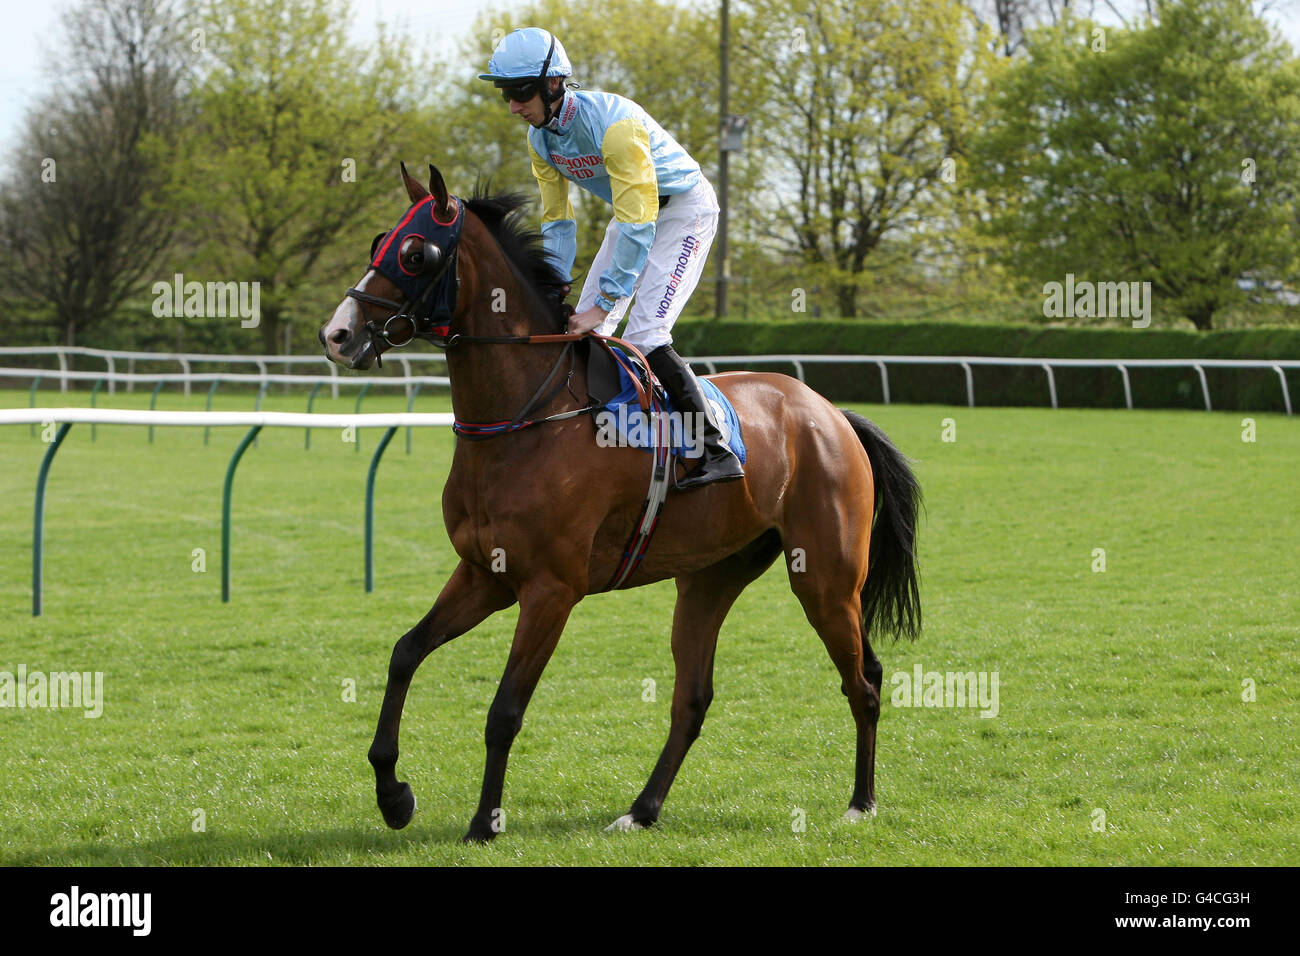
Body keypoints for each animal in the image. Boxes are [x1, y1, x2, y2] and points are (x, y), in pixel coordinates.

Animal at [320, 163, 921, 842]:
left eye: (415, 253)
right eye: (378, 242)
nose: (337, 334)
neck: (525, 416)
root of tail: (833, 414)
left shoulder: (552, 589)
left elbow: (505, 710)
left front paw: (483, 821)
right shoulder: (484, 574)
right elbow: (404, 654)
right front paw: (393, 794)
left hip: (826, 578)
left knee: (863, 681)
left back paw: (861, 801)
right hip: (710, 578)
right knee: (693, 699)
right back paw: (642, 809)